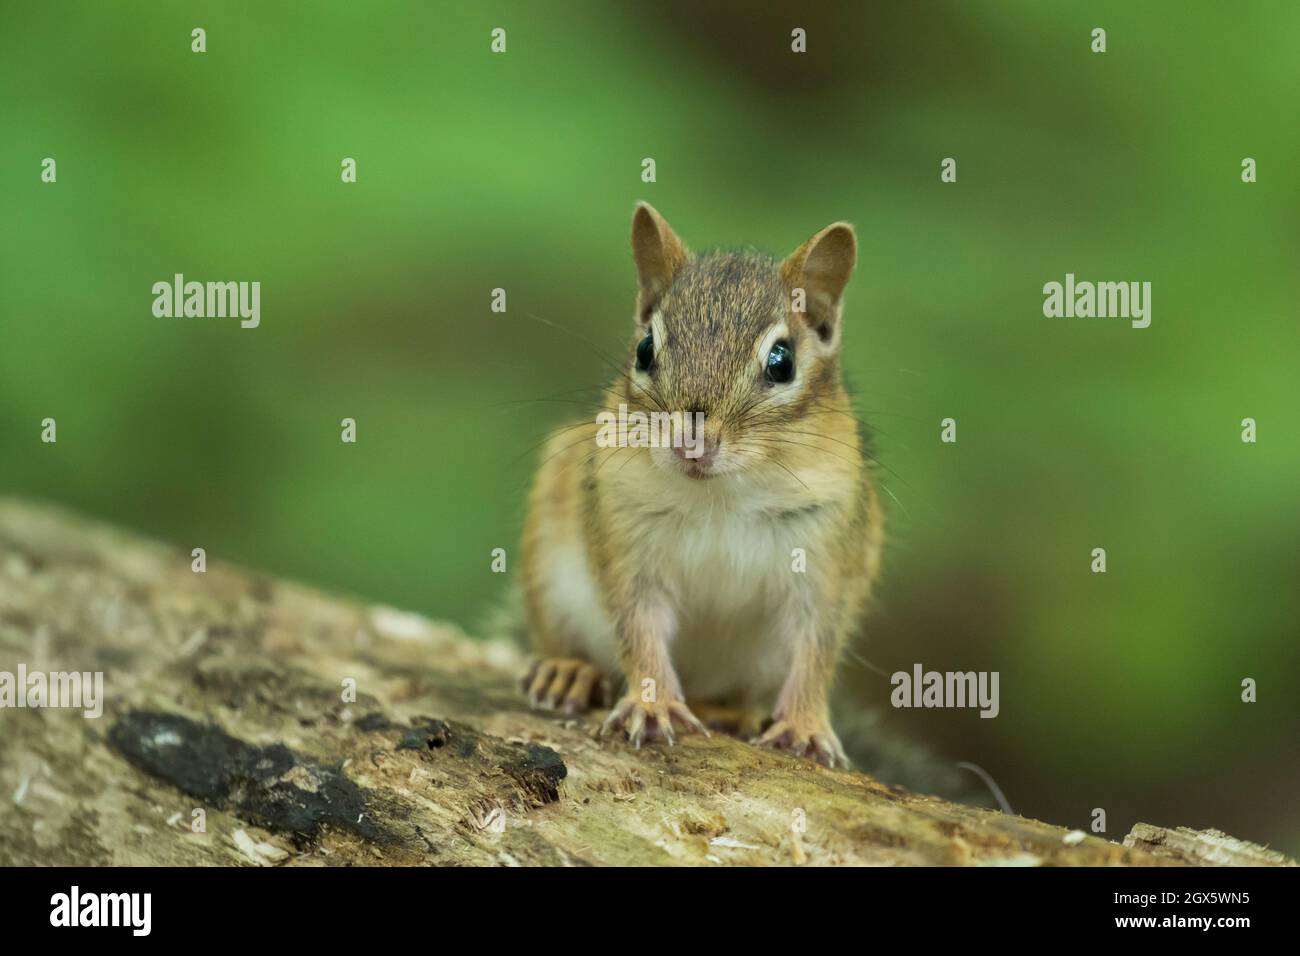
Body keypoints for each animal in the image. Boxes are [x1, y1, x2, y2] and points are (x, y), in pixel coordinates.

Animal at [518, 202, 883, 768]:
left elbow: (816, 645)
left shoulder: (828, 549)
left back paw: (733, 712)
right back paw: (568, 671)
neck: (723, 494)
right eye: (645, 349)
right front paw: (652, 705)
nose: (692, 442)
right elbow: (638, 626)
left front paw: (804, 725)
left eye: (782, 361)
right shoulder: (626, 532)